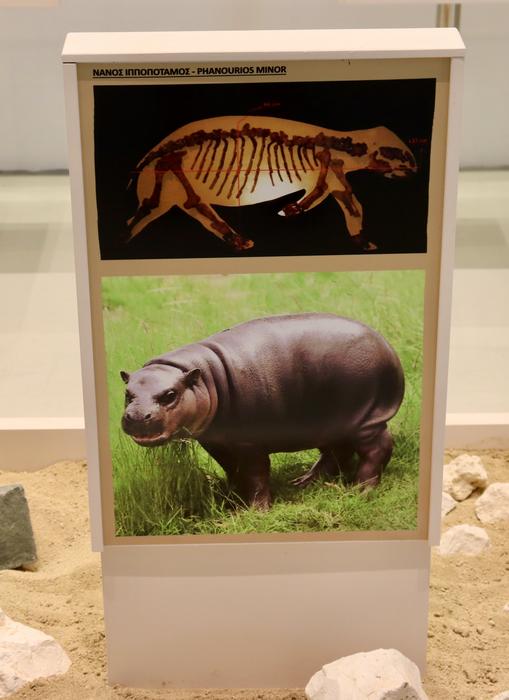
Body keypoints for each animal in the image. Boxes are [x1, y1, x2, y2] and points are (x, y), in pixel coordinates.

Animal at [120, 313, 404, 509]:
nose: (137, 416)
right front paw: (230, 497)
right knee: (337, 452)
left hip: (366, 418)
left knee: (376, 448)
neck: (204, 378)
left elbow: (255, 473)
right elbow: (231, 469)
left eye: (170, 395)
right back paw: (304, 481)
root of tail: (387, 346)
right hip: (331, 422)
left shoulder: (250, 442)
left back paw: (361, 489)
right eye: (127, 393)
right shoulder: (215, 441)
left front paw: (256, 509)